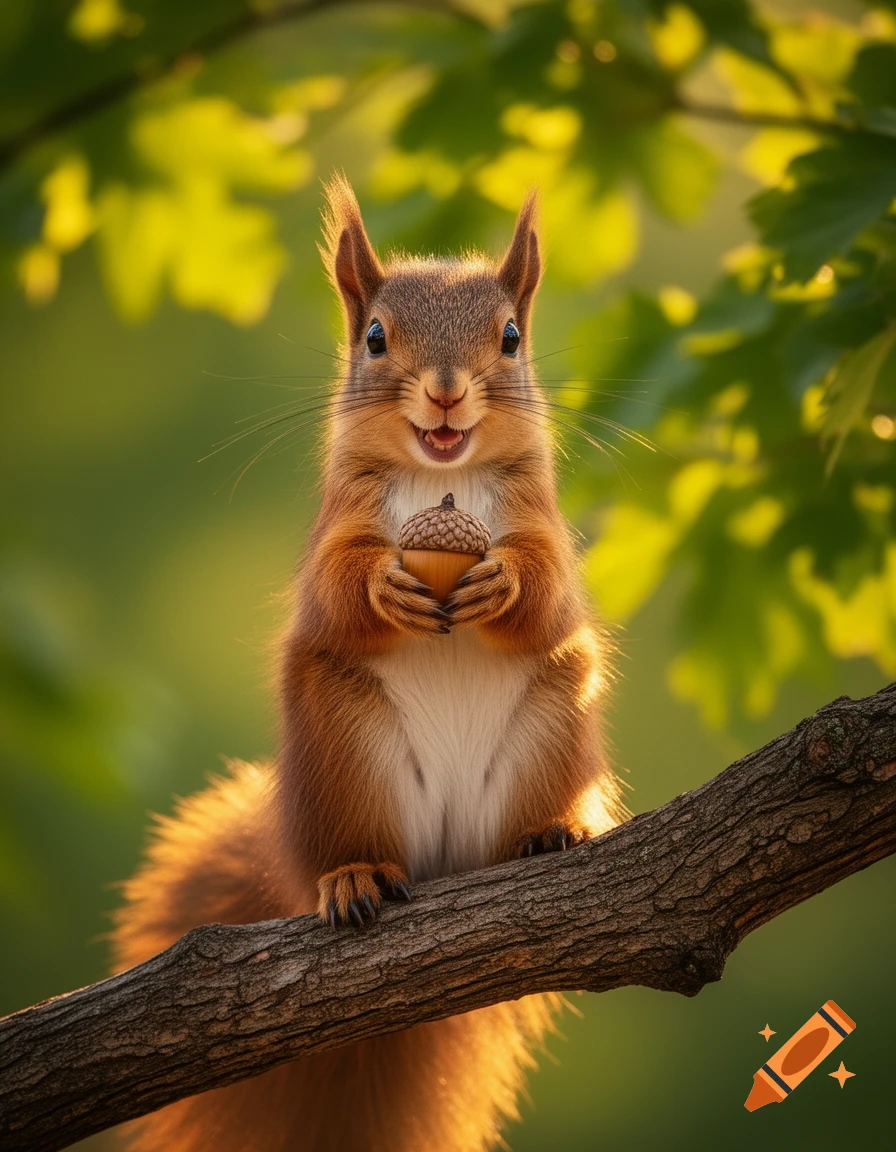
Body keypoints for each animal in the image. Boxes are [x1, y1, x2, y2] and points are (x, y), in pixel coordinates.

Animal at [112, 175, 623, 1152]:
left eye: (511, 336)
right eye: (377, 337)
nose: (447, 393)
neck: (441, 480)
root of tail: (450, 860)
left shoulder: (544, 530)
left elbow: (545, 596)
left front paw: (503, 582)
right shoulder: (332, 532)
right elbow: (339, 590)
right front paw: (386, 587)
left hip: (554, 722)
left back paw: (549, 834)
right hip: (347, 750)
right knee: (354, 849)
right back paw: (352, 876)